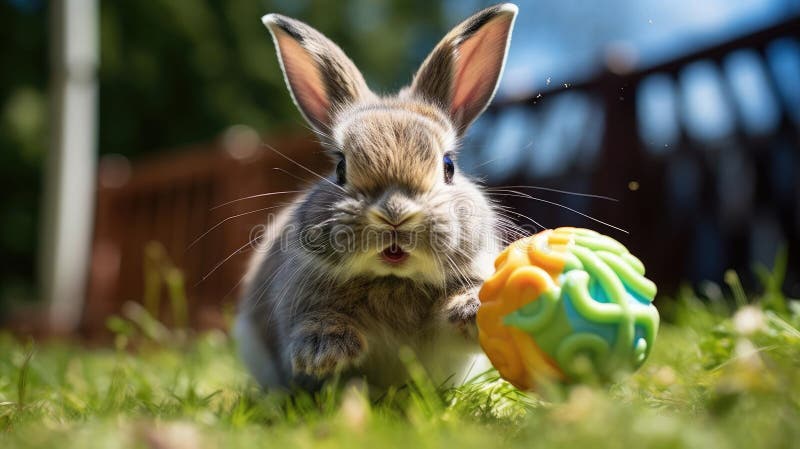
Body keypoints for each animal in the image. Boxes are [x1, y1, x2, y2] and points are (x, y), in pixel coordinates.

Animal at [235, 3, 518, 391]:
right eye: (340, 168)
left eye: (448, 166)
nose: (394, 213)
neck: (393, 279)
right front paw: (325, 350)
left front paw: (471, 309)